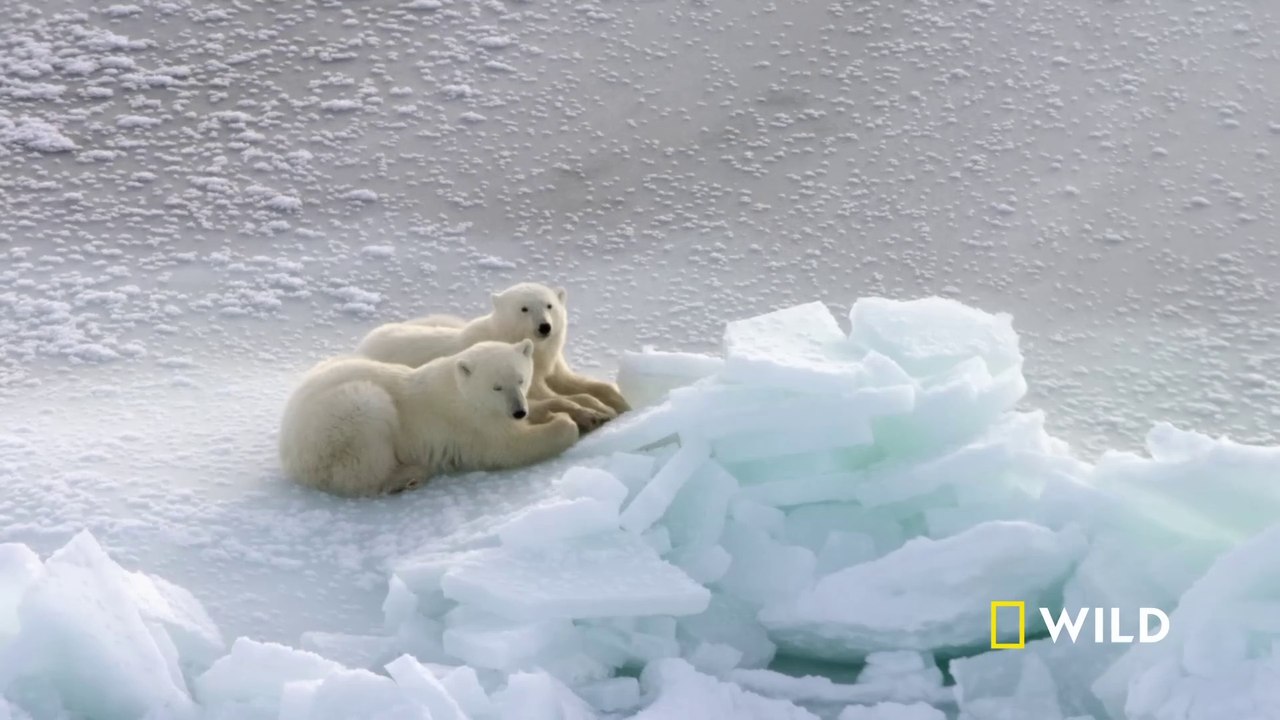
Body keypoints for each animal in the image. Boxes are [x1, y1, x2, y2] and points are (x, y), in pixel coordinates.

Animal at [278, 339, 580, 497]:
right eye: (496, 386)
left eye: (520, 379)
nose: (518, 411)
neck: (460, 389)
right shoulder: (470, 424)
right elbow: (508, 448)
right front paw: (564, 422)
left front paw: (579, 411)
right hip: (342, 419)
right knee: (362, 463)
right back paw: (410, 475)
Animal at [354, 282, 631, 429]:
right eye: (524, 308)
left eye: (549, 305)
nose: (545, 327)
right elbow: (550, 395)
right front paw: (596, 412)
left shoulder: (549, 361)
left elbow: (570, 381)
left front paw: (618, 401)